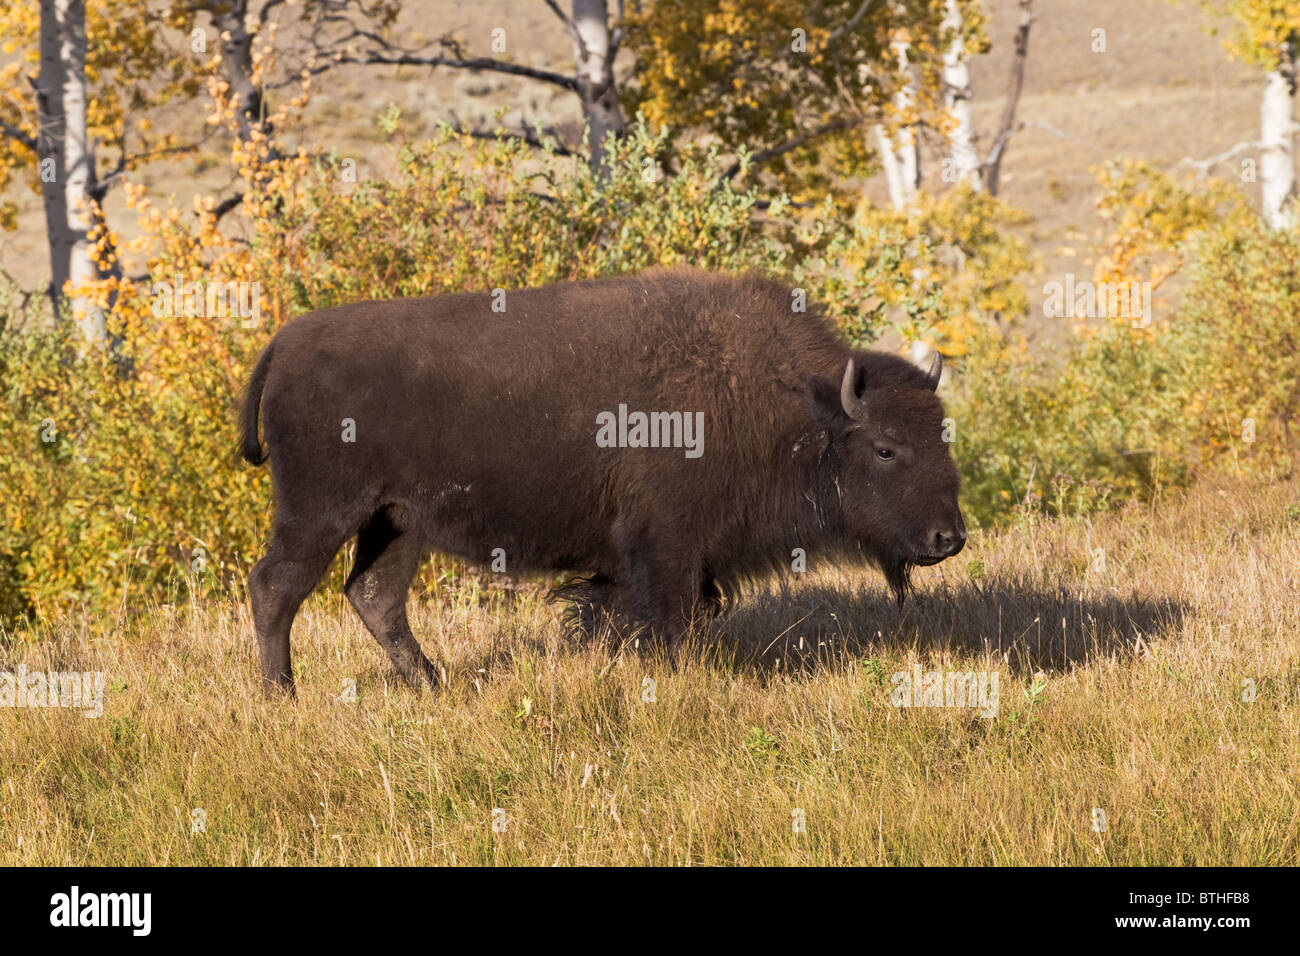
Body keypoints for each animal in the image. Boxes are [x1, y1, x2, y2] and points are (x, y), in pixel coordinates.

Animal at [240, 267, 965, 694]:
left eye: (943, 434)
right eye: (886, 449)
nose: (948, 537)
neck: (799, 405)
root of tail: (284, 344)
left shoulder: (640, 563)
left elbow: (616, 617)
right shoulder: (667, 549)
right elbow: (674, 625)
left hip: (395, 522)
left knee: (375, 595)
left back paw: (433, 685)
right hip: (321, 513)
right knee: (276, 586)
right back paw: (282, 695)